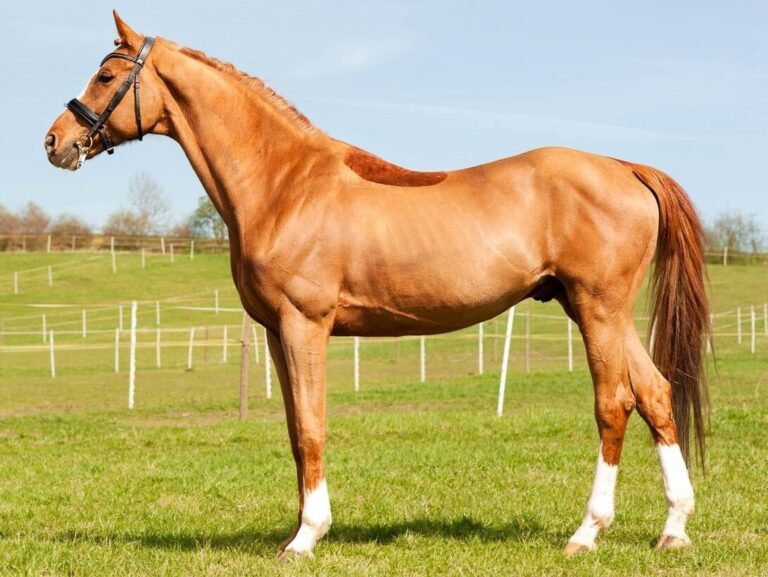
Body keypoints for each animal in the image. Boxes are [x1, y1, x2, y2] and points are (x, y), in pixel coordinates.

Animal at [45, 12, 709, 559]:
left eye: (106, 75)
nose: (55, 141)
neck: (285, 184)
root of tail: (625, 167)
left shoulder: (304, 325)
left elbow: (312, 426)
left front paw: (306, 538)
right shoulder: (274, 333)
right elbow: (295, 431)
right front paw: (298, 528)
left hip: (599, 310)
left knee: (614, 404)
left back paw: (587, 533)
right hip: (599, 312)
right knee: (655, 394)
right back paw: (673, 530)